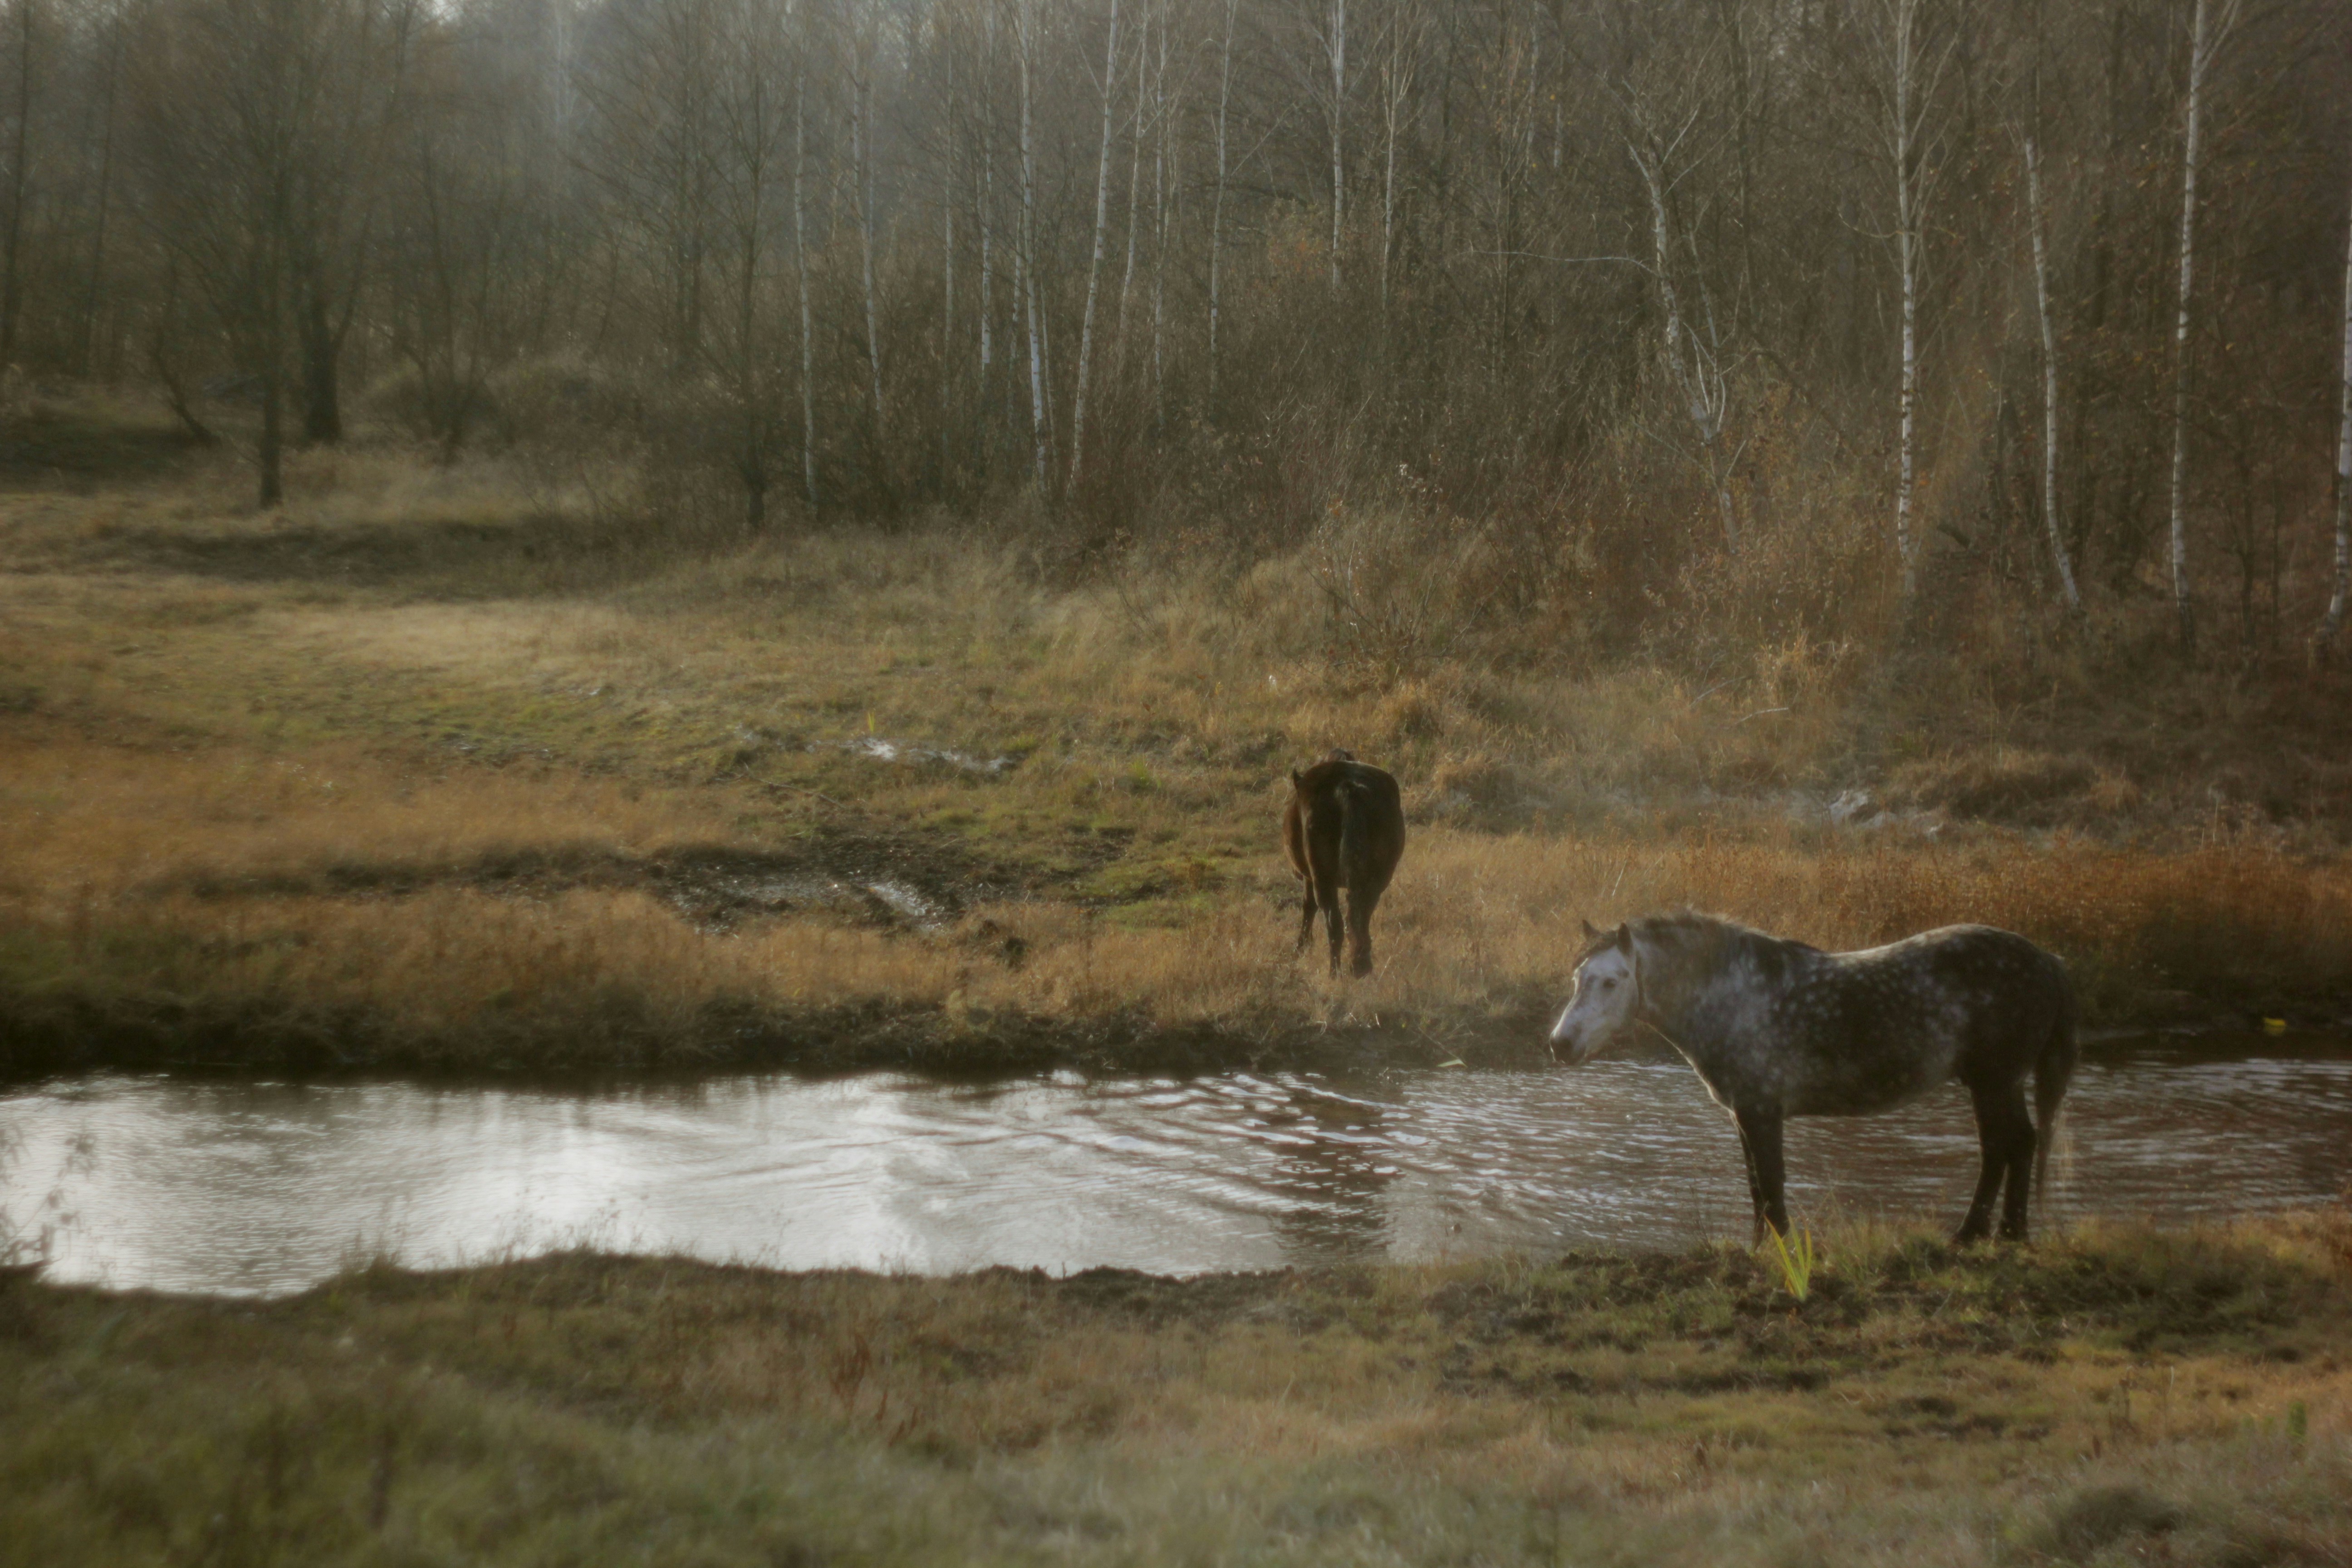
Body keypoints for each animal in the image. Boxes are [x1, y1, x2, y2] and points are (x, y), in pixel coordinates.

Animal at [1282, 750, 1406, 977]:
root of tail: (1347, 788)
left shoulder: (1309, 878)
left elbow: (1308, 907)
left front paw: (1302, 947)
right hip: (1377, 879)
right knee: (1360, 917)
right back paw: (1360, 966)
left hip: (1322, 879)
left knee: (1334, 923)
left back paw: (1335, 972)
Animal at [1548, 912, 2076, 1244]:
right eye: (1576, 979)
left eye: (1612, 981)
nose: (1561, 1044)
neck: (1734, 996)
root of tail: (2050, 962)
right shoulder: (1744, 1115)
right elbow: (1757, 1188)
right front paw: (1761, 1249)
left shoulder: (1762, 1112)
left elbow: (1772, 1186)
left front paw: (1783, 1252)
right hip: (1995, 1084)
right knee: (2013, 1147)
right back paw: (1997, 1235)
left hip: (1995, 1082)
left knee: (2009, 1147)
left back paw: (1986, 1234)